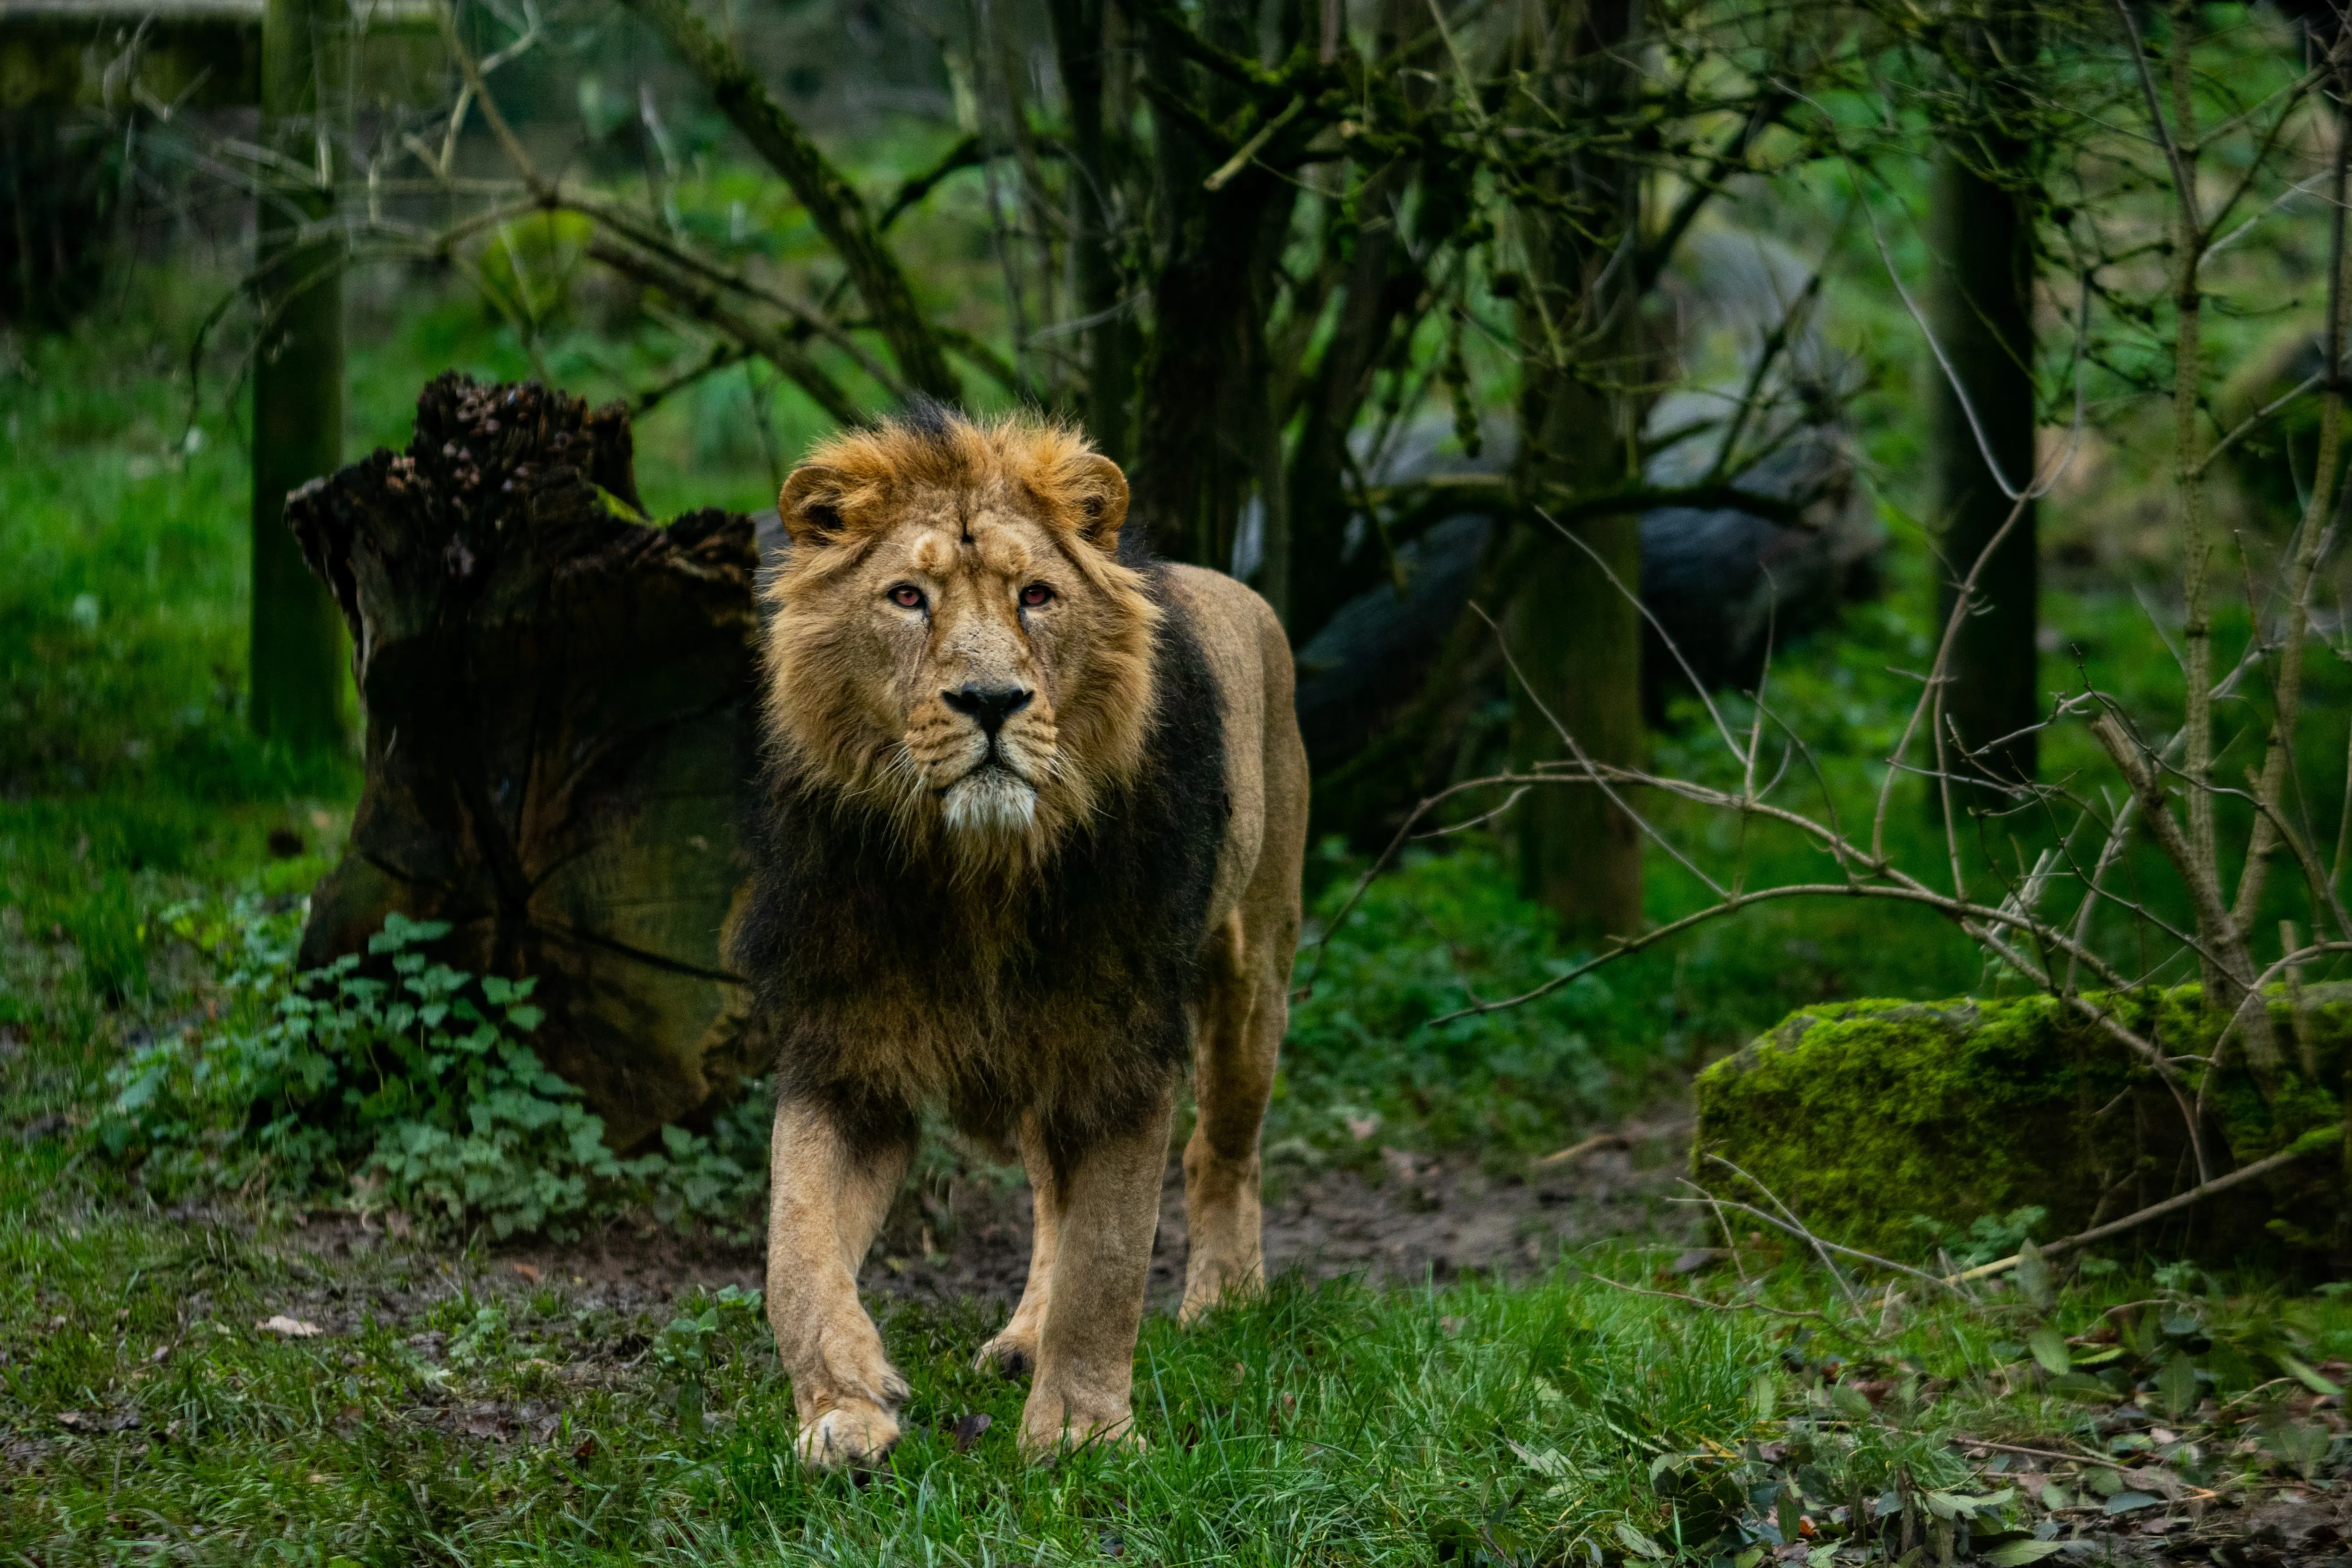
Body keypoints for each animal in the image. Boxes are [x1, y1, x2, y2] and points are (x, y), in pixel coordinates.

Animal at [734, 400, 1308, 1467]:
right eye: (906, 597)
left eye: (1036, 596)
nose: (991, 700)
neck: (977, 871)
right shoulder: (847, 1051)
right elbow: (793, 1249)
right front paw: (845, 1406)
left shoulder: (1118, 1049)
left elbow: (1108, 1260)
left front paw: (1080, 1434)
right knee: (1051, 1199)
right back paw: (1022, 1337)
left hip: (1254, 968)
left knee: (1222, 1149)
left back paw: (1225, 1300)